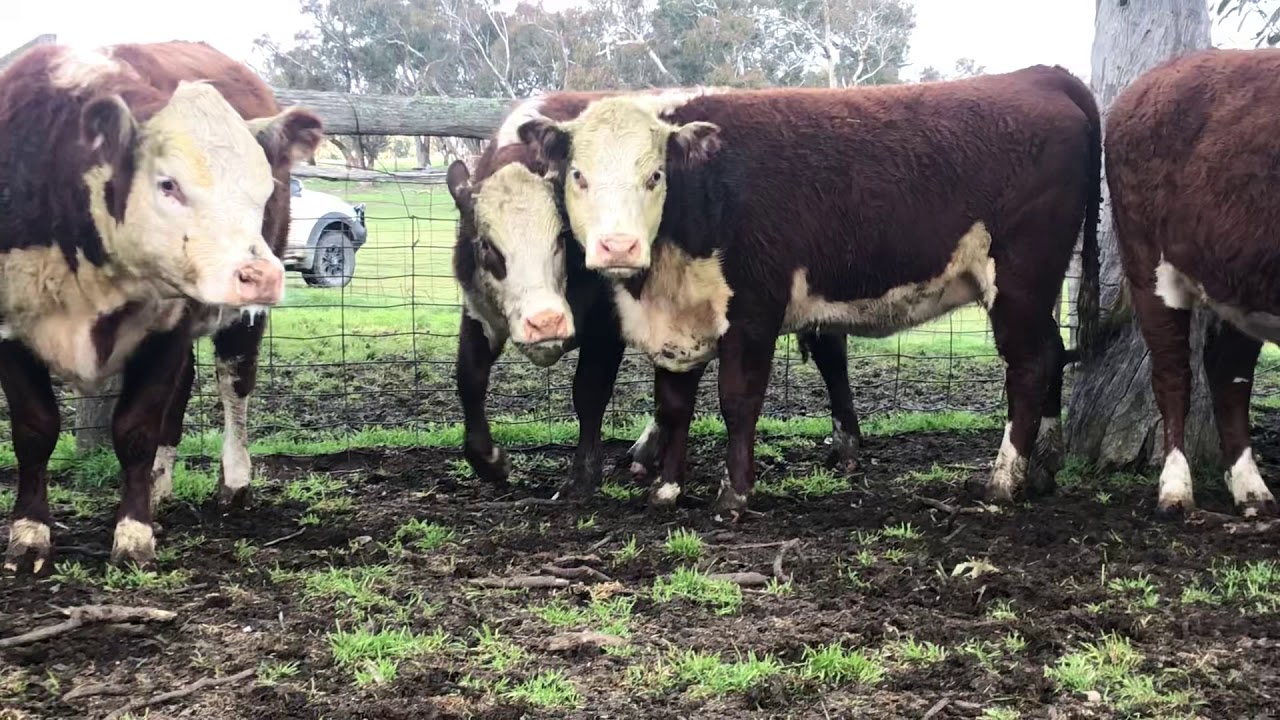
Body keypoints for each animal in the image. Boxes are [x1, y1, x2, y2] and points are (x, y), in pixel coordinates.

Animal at [0, 41, 323, 574]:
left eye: (264, 190)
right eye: (168, 184)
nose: (261, 275)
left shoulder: (169, 324)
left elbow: (135, 428)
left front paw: (133, 535)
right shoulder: (10, 328)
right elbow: (34, 429)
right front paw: (29, 533)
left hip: (238, 323)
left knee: (234, 381)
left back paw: (232, 482)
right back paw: (160, 483)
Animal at [451, 93, 866, 505]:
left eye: (560, 239)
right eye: (486, 246)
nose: (546, 322)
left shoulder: (606, 327)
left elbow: (589, 392)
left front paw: (581, 478)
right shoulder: (478, 310)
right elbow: (469, 378)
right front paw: (489, 461)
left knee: (829, 356)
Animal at [517, 68, 1102, 515]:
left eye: (655, 175)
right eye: (577, 175)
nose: (618, 246)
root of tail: (1038, 74)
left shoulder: (755, 308)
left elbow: (737, 400)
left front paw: (734, 494)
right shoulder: (680, 321)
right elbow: (674, 403)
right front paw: (667, 489)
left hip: (1020, 277)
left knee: (1029, 365)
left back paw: (1003, 481)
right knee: (1053, 352)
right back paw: (1043, 465)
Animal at [1104, 48, 1280, 518]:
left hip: (1242, 286)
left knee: (1229, 376)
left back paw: (1250, 488)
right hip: (1149, 265)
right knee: (1173, 376)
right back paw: (1175, 488)